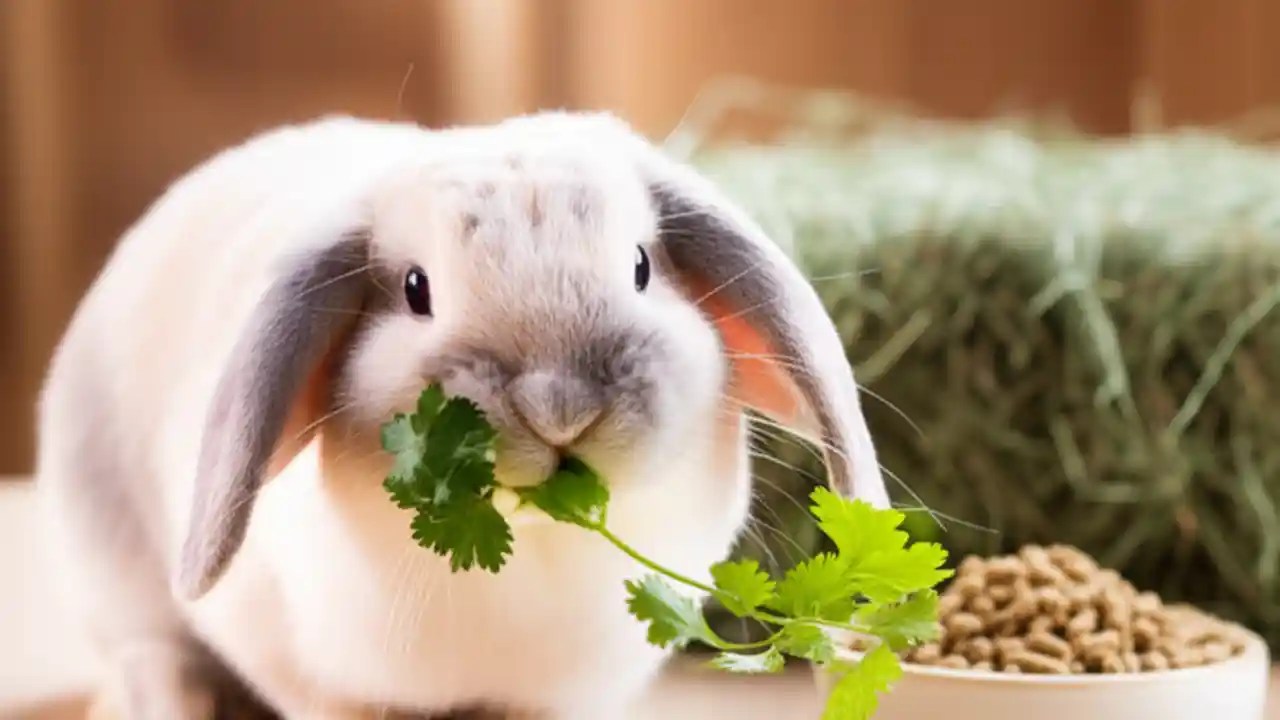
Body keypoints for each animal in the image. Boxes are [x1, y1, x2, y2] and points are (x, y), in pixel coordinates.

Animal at [35, 110, 889, 720]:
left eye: (643, 267)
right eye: (417, 289)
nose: (558, 405)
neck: (531, 565)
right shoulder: (317, 681)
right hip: (119, 578)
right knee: (153, 661)